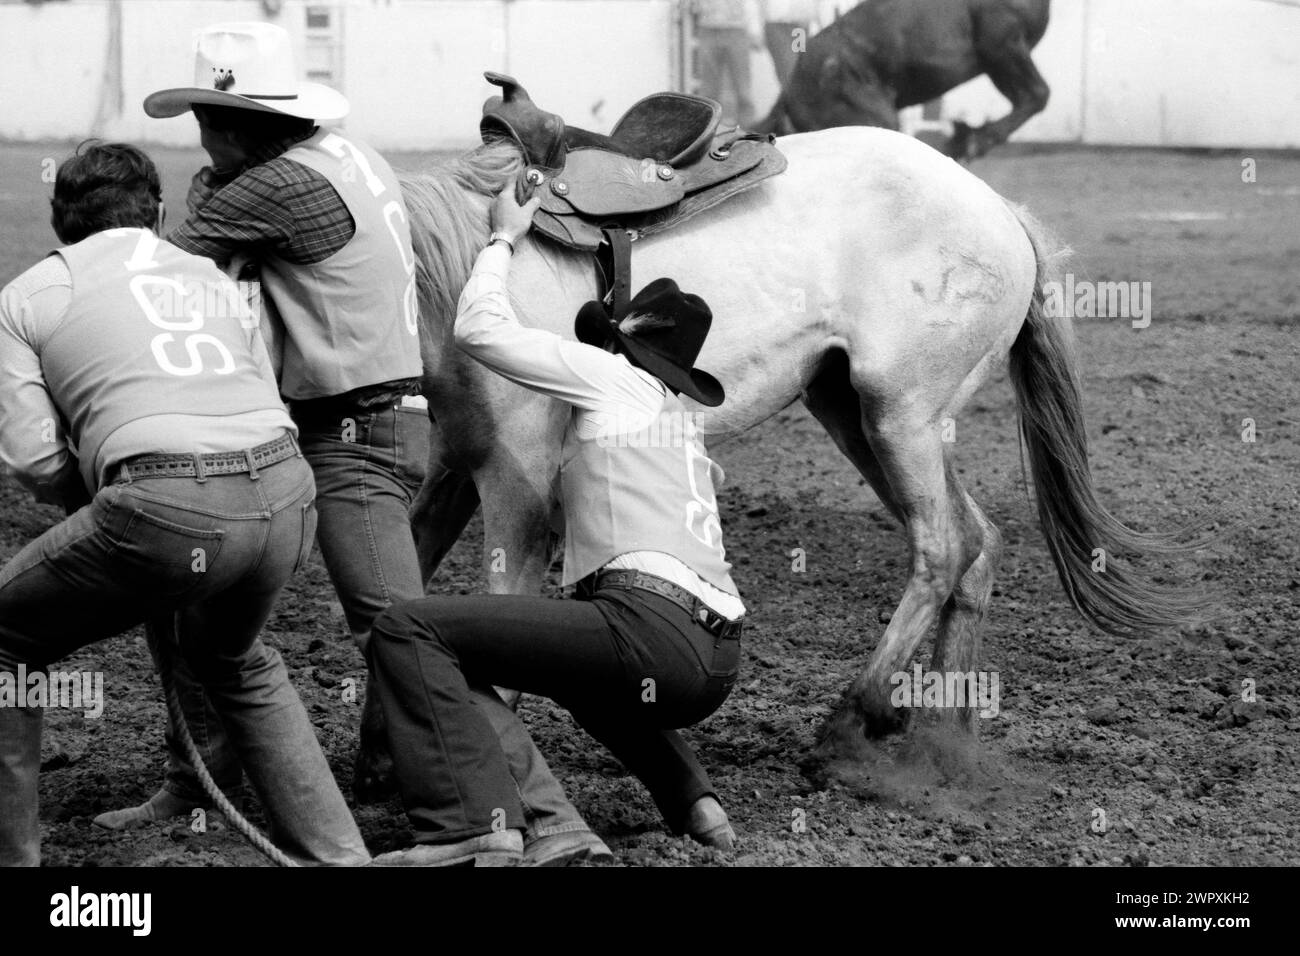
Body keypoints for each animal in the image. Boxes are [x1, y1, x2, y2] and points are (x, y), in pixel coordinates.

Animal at [391, 125, 1203, 762]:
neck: (463, 268)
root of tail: (1000, 208)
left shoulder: (517, 487)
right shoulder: (454, 471)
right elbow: (397, 587)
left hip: (899, 416)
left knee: (942, 547)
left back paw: (858, 715)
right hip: (858, 415)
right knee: (979, 543)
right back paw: (945, 745)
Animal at [756, 0, 1052, 162]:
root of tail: (787, 96)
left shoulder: (1001, 59)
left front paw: (964, 137)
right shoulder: (1002, 46)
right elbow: (1038, 94)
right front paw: (975, 142)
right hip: (874, 119)